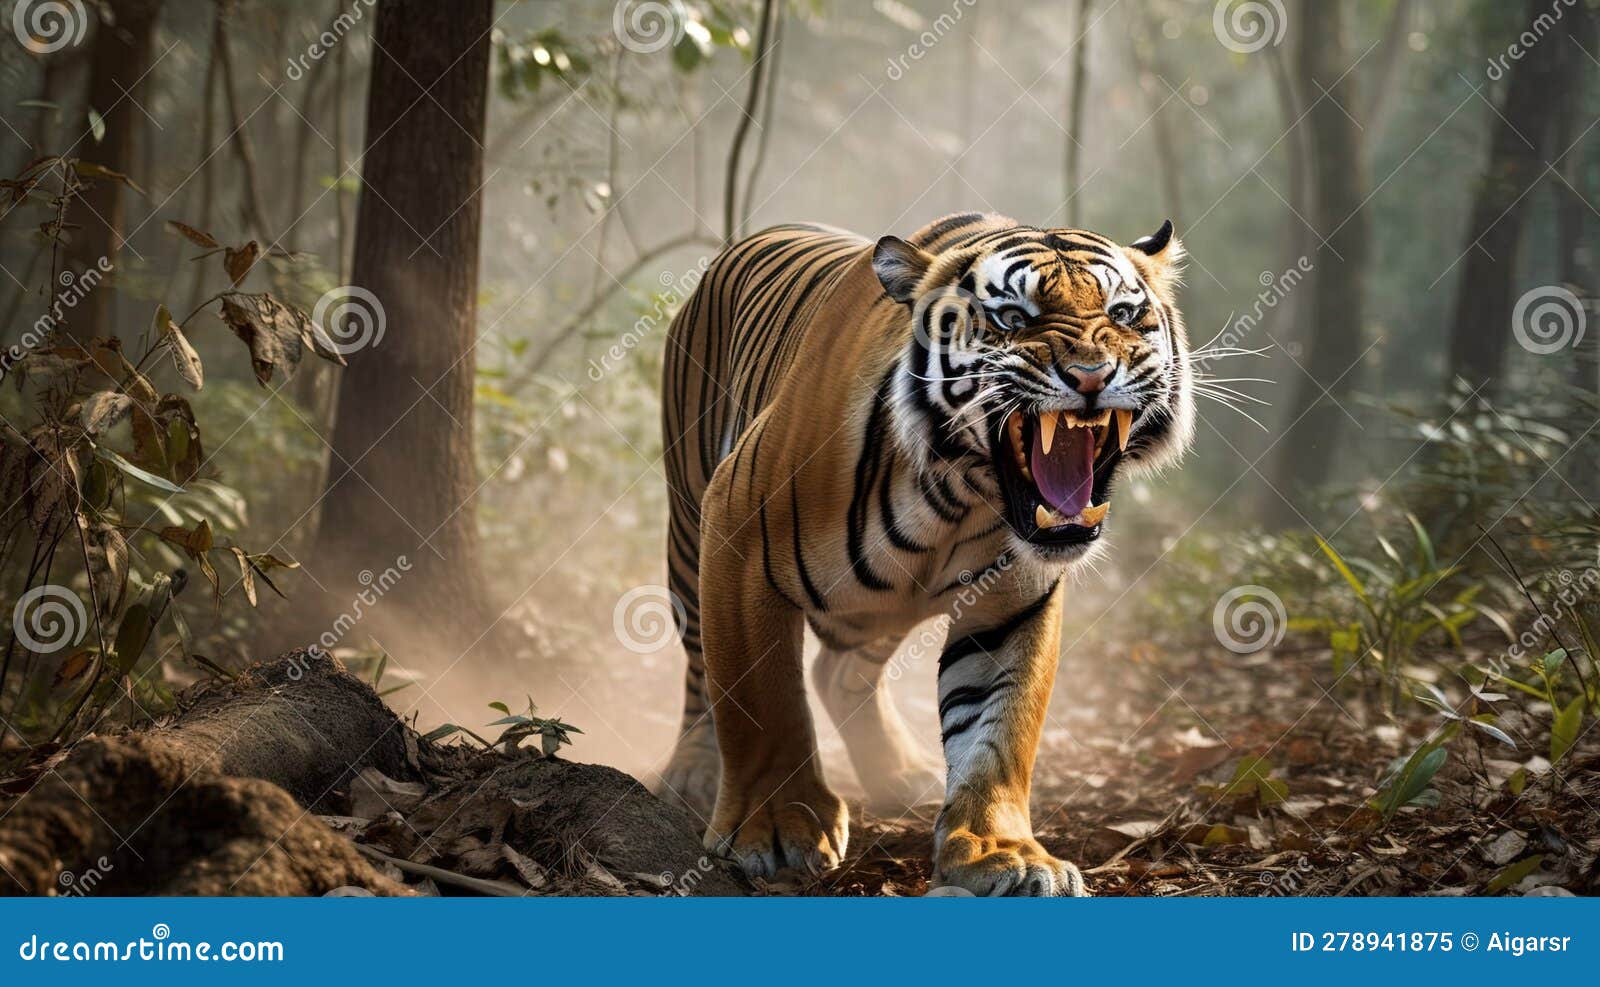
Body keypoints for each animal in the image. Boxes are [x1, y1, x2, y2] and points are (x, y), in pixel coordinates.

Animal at [651, 212, 1193, 896]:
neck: (959, 496)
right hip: (688, 529)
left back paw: (900, 771)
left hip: (879, 605)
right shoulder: (739, 535)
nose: (1093, 374)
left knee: (839, 673)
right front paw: (777, 830)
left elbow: (998, 731)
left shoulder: (1015, 603)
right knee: (700, 666)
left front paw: (1001, 852)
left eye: (1123, 313)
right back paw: (693, 772)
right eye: (1011, 317)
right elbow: (761, 702)